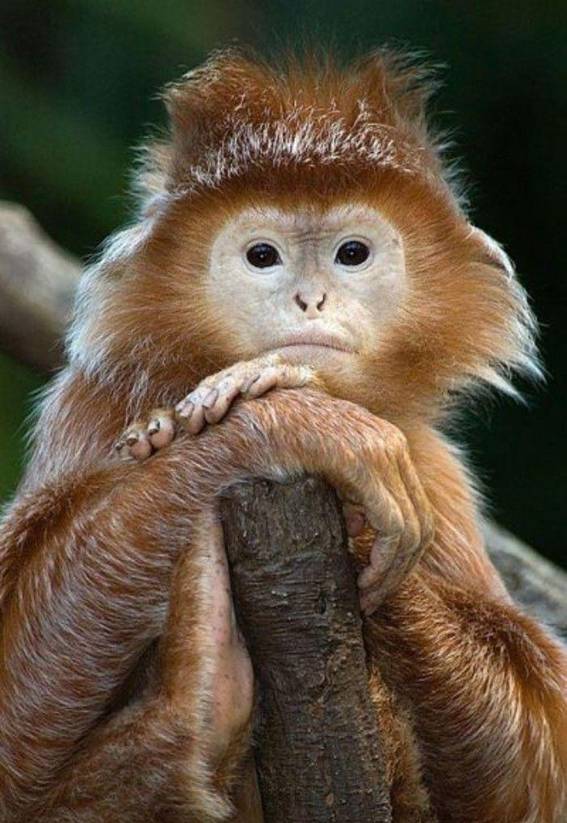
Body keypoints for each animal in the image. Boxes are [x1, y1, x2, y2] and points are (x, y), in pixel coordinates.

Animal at [0, 47, 566, 823]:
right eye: (262, 256)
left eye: (351, 253)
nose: (310, 299)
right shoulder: (93, 406)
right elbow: (14, 738)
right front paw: (302, 424)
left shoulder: (434, 463)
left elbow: (539, 765)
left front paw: (358, 518)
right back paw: (207, 683)